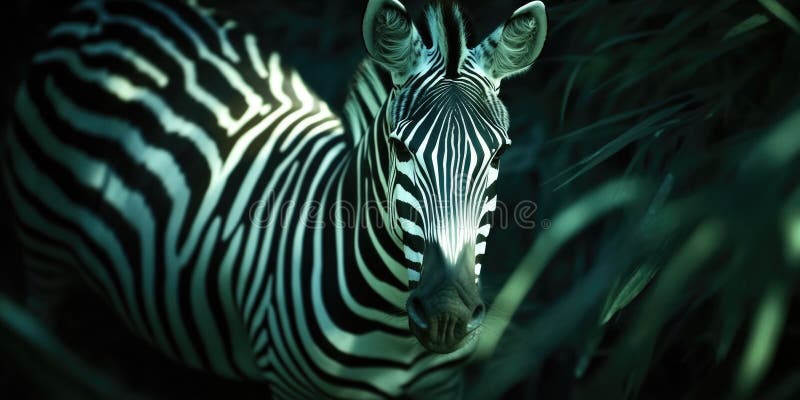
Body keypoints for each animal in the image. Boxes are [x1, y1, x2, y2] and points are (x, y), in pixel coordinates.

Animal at [2, 0, 547, 398]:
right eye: (399, 148)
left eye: (500, 152)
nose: (447, 316)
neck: (391, 336)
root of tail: (100, 13)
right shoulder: (290, 386)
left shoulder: (440, 389)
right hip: (40, 241)